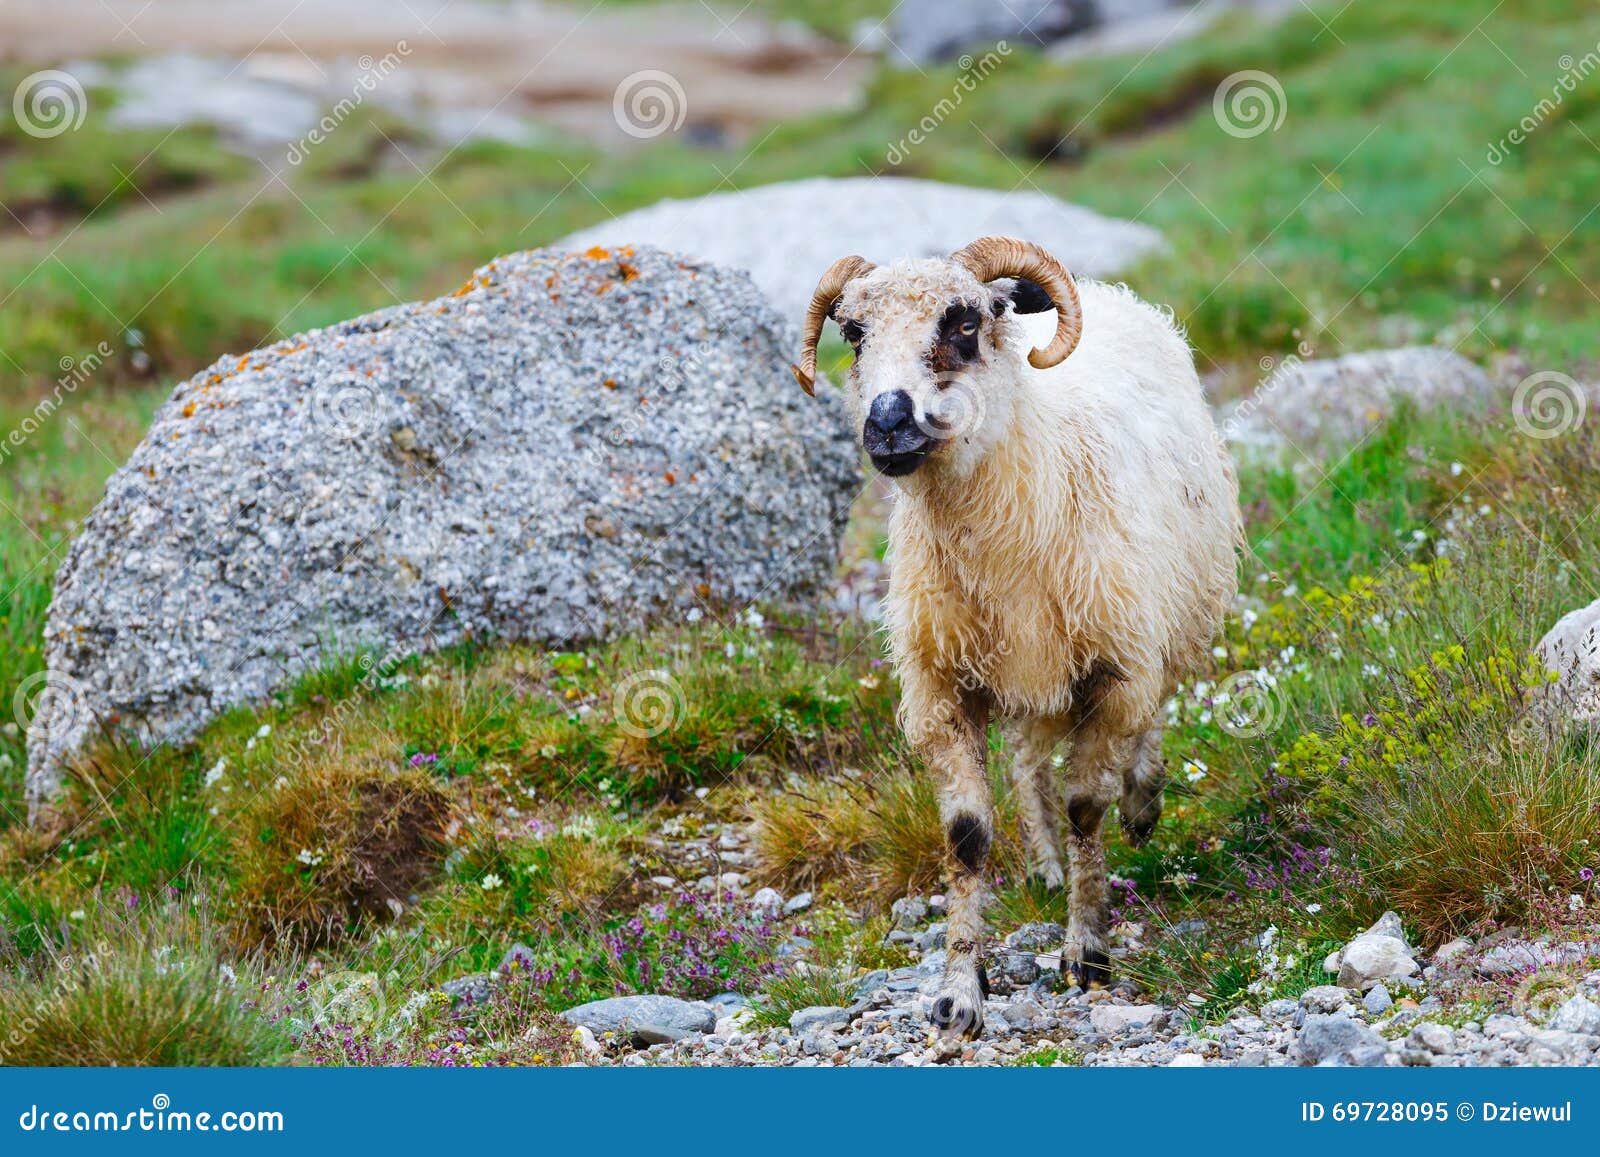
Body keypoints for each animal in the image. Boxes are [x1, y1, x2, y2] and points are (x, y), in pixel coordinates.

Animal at [792, 236, 1240, 1039]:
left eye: (966, 321)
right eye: (854, 333)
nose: (887, 424)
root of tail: (1110, 291)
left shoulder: (1115, 668)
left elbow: (1088, 805)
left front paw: (1086, 952)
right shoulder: (942, 690)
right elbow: (968, 835)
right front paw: (959, 990)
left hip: (1161, 620)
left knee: (1148, 720)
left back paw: (1142, 803)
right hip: (1033, 676)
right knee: (1031, 765)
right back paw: (1047, 866)